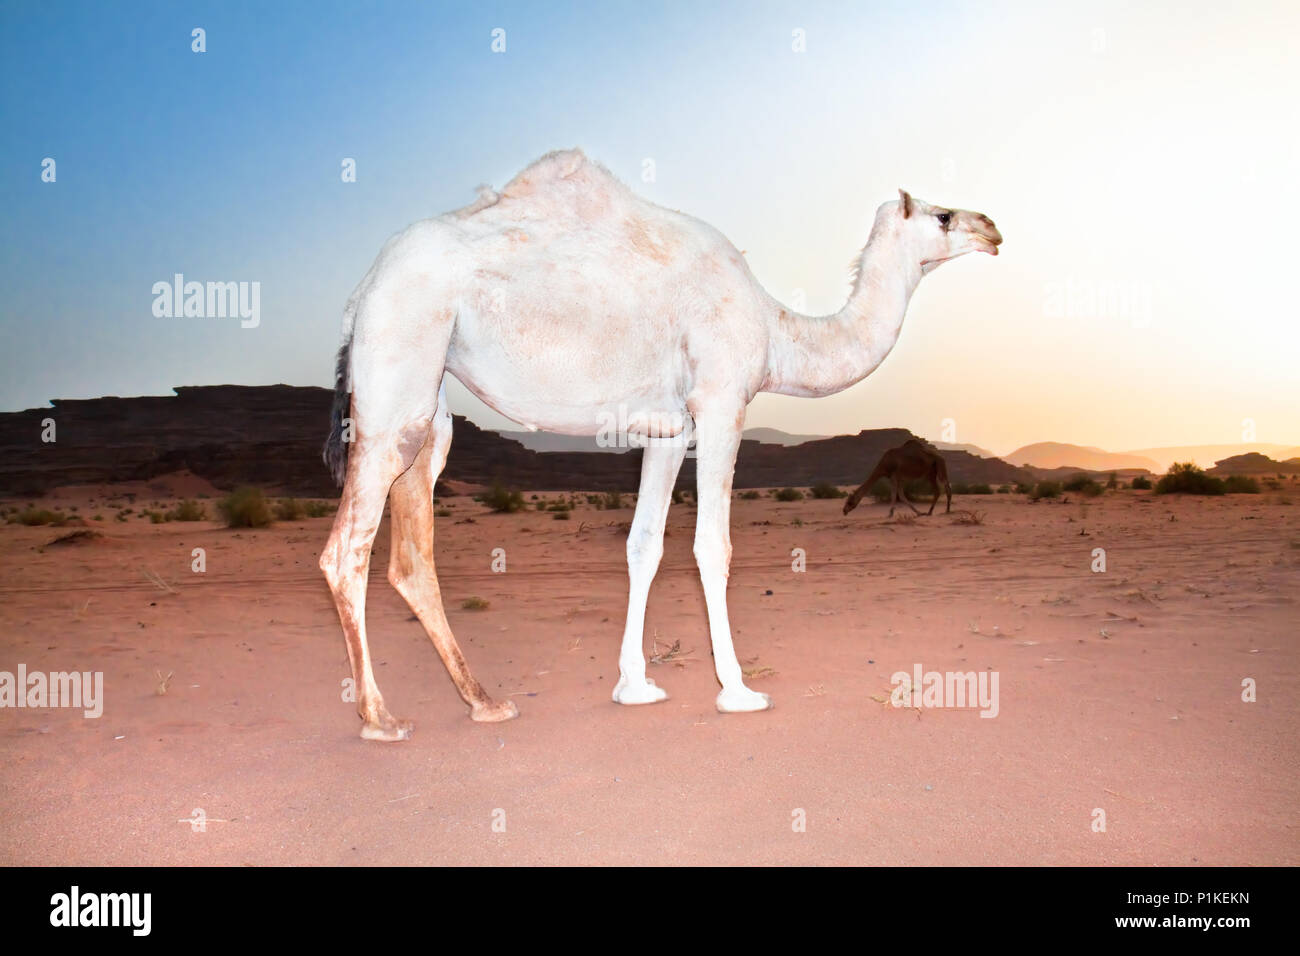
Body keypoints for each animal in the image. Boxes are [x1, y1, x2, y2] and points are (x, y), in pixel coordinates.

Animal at [319, 148, 1001, 740]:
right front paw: (738, 691)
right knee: (346, 549)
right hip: (397, 364)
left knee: (412, 553)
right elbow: (713, 546)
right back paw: (380, 718)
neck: (776, 329)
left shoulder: (671, 431)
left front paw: (634, 686)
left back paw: (484, 701)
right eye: (942, 215)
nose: (992, 227)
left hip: (428, 400)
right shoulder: (723, 403)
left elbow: (644, 545)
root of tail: (360, 293)